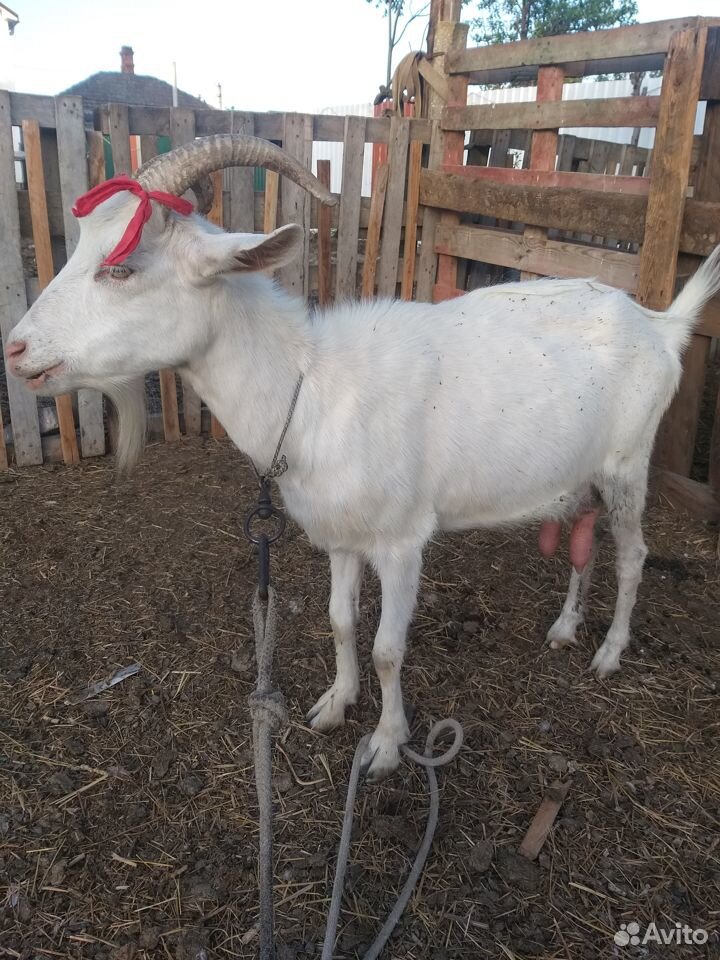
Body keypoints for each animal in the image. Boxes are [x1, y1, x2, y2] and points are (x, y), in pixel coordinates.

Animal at [7, 135, 720, 779]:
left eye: (121, 268)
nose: (15, 349)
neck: (312, 387)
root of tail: (659, 326)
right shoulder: (341, 537)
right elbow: (341, 623)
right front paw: (334, 704)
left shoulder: (403, 541)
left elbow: (386, 648)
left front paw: (384, 745)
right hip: (583, 474)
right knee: (586, 539)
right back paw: (567, 627)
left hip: (628, 462)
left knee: (634, 554)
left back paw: (609, 652)